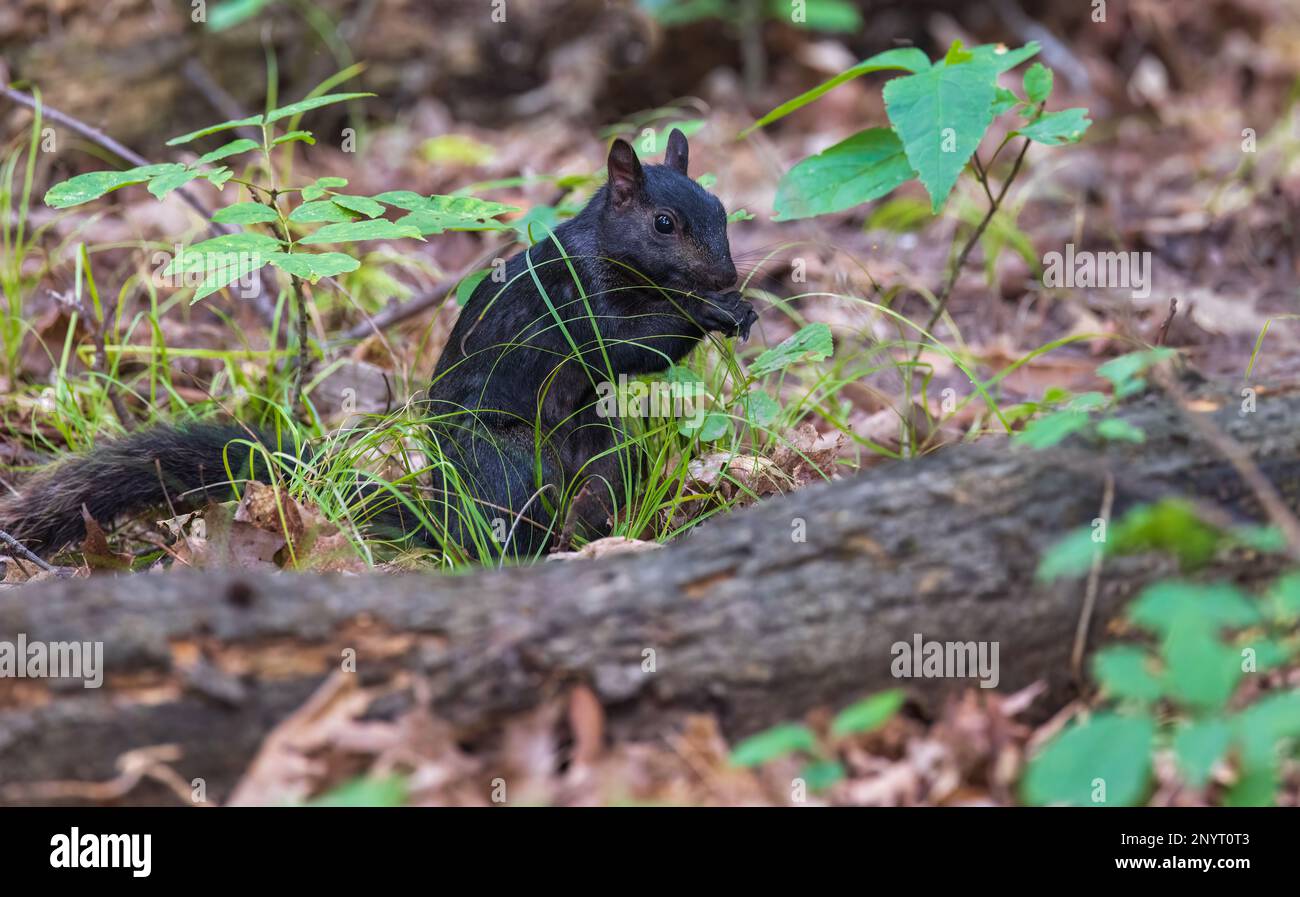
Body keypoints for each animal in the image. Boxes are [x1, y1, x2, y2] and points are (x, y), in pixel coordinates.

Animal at [0, 129, 755, 559]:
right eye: (663, 223)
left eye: (722, 211)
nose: (726, 274)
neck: (616, 256)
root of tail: (443, 513)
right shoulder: (575, 297)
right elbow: (626, 345)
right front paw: (709, 311)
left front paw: (736, 304)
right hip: (510, 462)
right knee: (503, 528)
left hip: (605, 449)